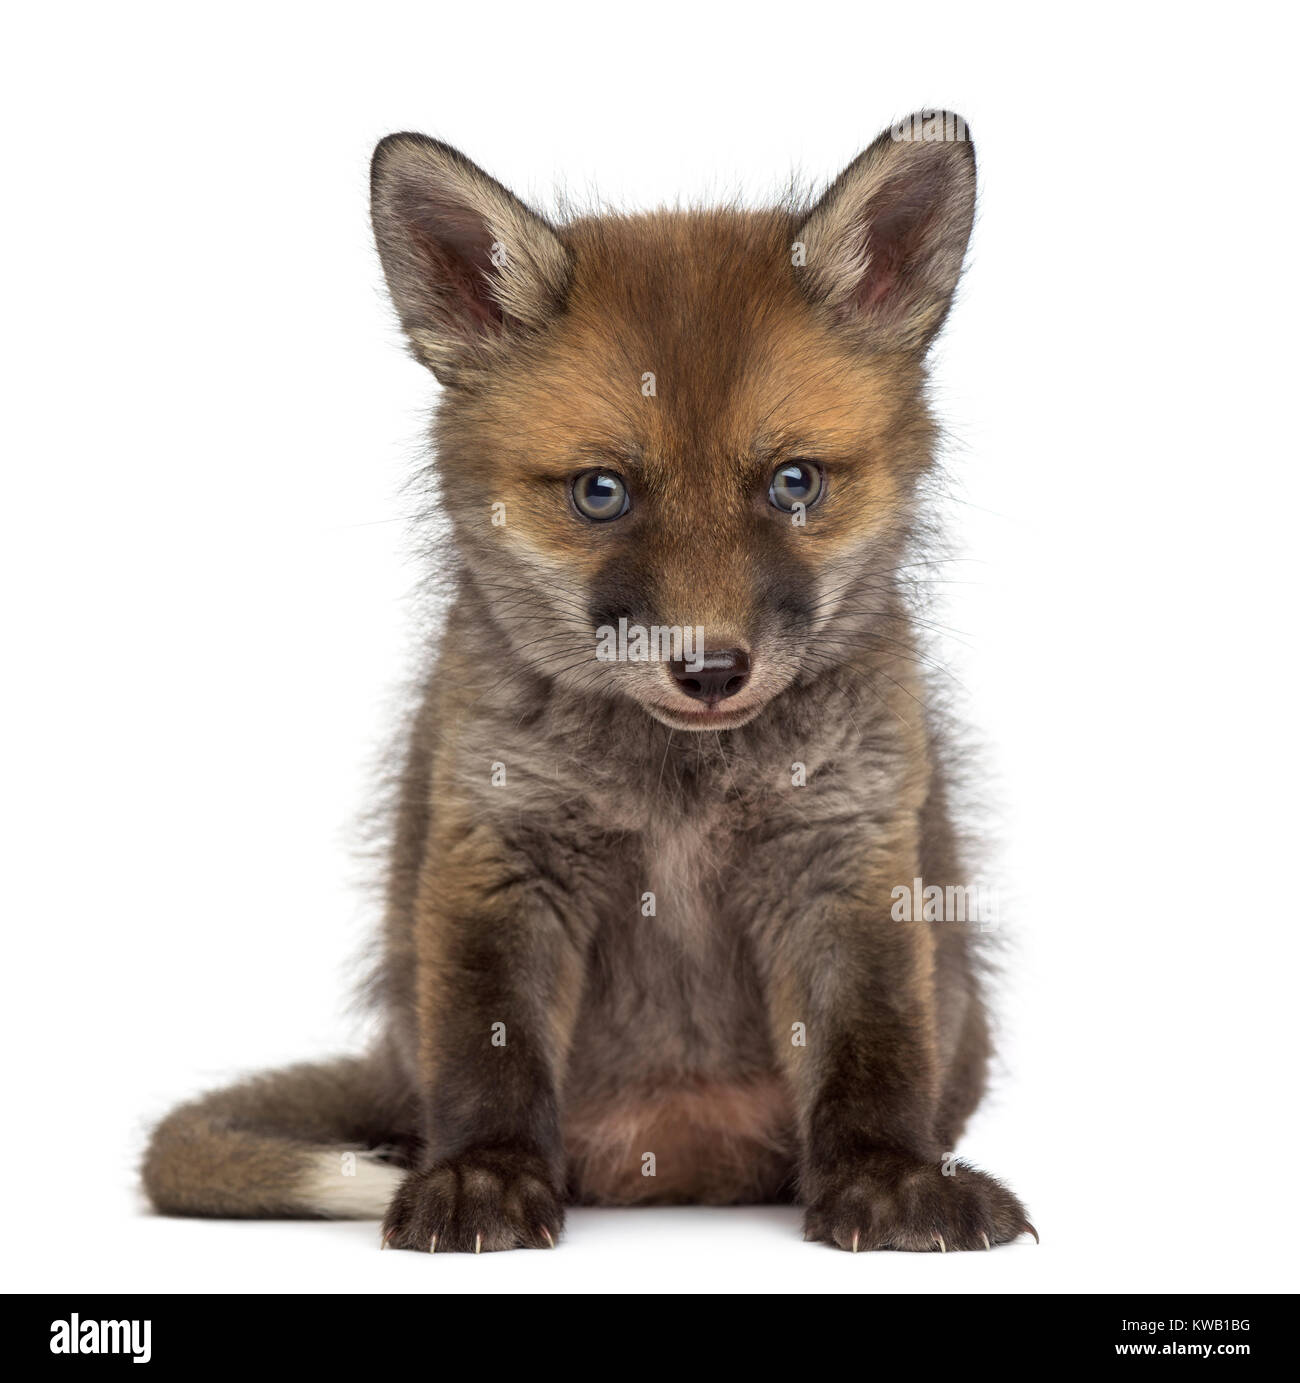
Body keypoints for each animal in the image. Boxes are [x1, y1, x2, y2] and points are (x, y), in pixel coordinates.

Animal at [143, 111, 1035, 1253]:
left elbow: (869, 1044)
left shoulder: (846, 851)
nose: (710, 668)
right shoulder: (498, 848)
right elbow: (492, 1051)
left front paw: (887, 1178)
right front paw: (481, 1178)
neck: (682, 788)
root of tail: (676, 1171)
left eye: (792, 484)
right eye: (601, 493)